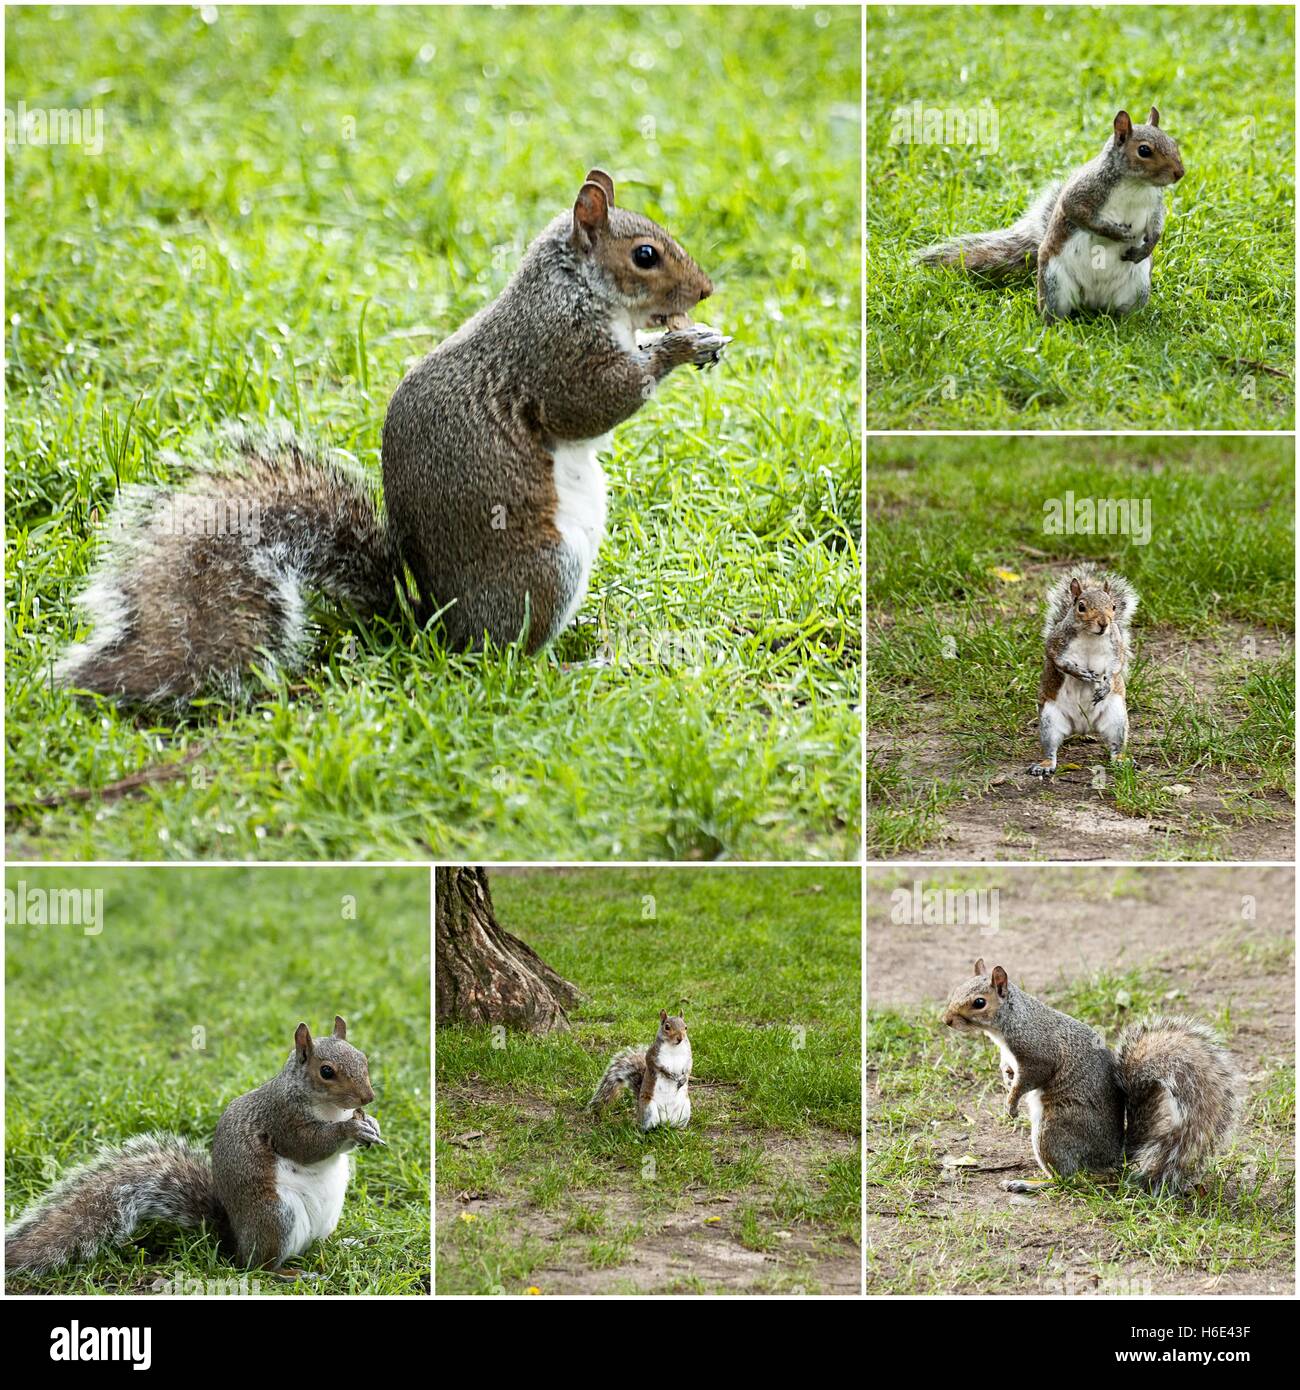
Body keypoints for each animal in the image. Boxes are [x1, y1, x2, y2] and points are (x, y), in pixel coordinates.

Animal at [5, 1016, 383, 1278]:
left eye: (364, 1058)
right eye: (326, 1071)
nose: (368, 1097)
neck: (327, 1107)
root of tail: (235, 1241)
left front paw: (371, 1124)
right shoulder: (282, 1119)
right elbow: (308, 1145)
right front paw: (351, 1128)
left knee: (315, 1244)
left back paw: (346, 1242)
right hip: (275, 1216)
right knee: (258, 1266)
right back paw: (288, 1272)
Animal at [53, 168, 730, 704]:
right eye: (646, 255)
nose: (705, 291)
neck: (575, 286)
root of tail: (433, 626)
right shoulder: (554, 353)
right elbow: (592, 405)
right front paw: (677, 346)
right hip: (543, 570)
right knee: (508, 658)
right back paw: (577, 664)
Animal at [917, 107, 1184, 321]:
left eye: (1174, 143)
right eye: (1144, 150)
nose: (1180, 173)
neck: (1135, 184)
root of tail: (1093, 302)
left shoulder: (1154, 204)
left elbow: (1157, 227)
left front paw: (1146, 247)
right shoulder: (1082, 193)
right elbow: (1078, 213)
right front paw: (1117, 234)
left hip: (1137, 288)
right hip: (1054, 282)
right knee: (1055, 311)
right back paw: (1054, 325)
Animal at [943, 961, 1241, 1194]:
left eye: (979, 1002)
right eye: (956, 990)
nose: (946, 1020)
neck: (1009, 1024)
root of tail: (1112, 1157)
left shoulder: (1039, 1053)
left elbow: (1030, 1078)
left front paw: (1011, 1103)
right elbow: (1009, 1069)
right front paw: (1006, 1077)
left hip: (1053, 1132)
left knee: (1067, 1180)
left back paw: (1030, 1184)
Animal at [1028, 571, 1138, 777]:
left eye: (1113, 606)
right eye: (1081, 607)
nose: (1104, 623)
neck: (1090, 636)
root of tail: (1082, 727)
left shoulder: (1117, 647)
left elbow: (1116, 666)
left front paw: (1105, 686)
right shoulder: (1055, 643)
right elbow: (1058, 660)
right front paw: (1079, 673)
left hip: (1117, 718)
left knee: (1116, 746)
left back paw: (1121, 760)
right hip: (1049, 720)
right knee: (1050, 748)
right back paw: (1045, 765)